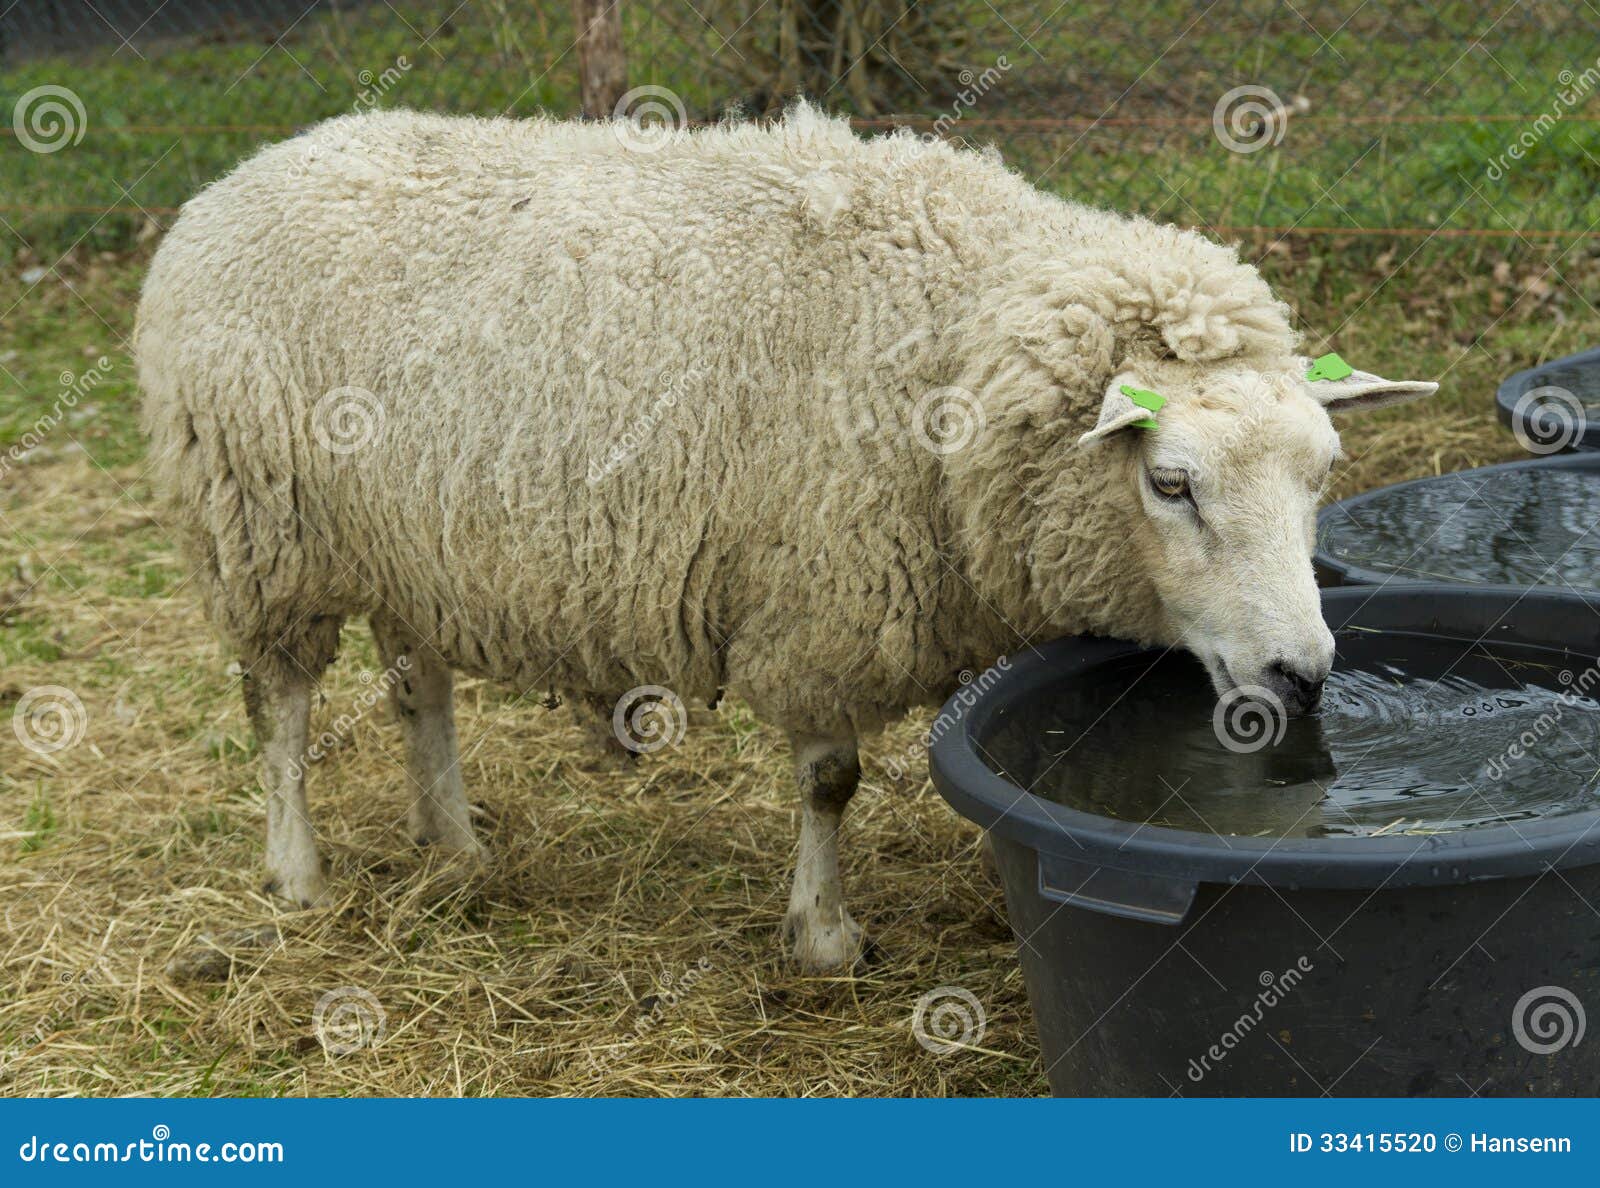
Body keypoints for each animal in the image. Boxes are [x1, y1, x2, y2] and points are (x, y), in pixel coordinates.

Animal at [134, 104, 1435, 970]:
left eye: (1322, 475)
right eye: (1169, 484)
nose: (1301, 674)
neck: (955, 339)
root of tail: (249, 169)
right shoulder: (821, 599)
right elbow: (831, 780)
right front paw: (824, 934)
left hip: (409, 538)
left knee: (420, 686)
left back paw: (452, 843)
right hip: (261, 533)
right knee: (279, 705)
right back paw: (297, 875)